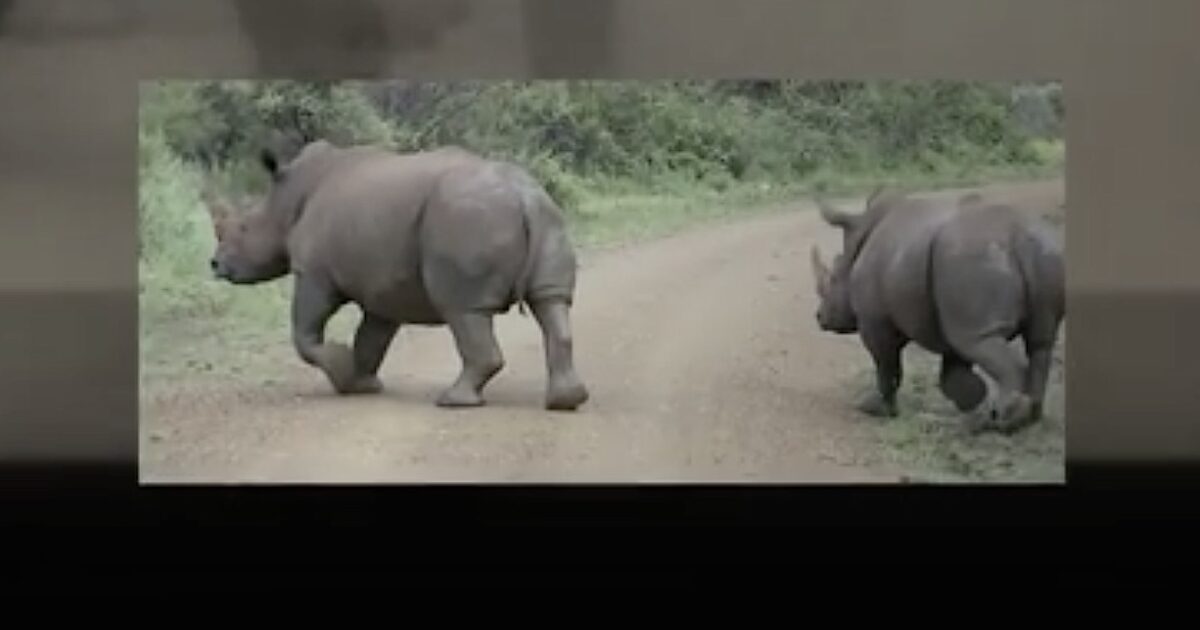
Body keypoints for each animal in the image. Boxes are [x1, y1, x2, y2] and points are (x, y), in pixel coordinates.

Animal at [204, 139, 589, 411]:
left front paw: (341, 369)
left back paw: (452, 401)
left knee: (463, 310)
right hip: (547, 217)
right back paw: (566, 401)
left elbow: (305, 334)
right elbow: (371, 338)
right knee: (550, 302)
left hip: (466, 221)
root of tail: (523, 196)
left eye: (243, 228)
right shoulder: (383, 287)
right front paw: (360, 385)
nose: (215, 265)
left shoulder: (313, 272)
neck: (285, 202)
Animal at [809, 187, 1065, 433]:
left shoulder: (875, 320)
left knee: (983, 343)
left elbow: (886, 363)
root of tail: (1020, 236)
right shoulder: (953, 315)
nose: (820, 317)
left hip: (974, 260)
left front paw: (872, 408)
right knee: (1040, 343)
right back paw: (1021, 418)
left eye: (833, 278)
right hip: (1043, 255)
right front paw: (974, 408)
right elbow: (953, 377)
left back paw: (1005, 421)